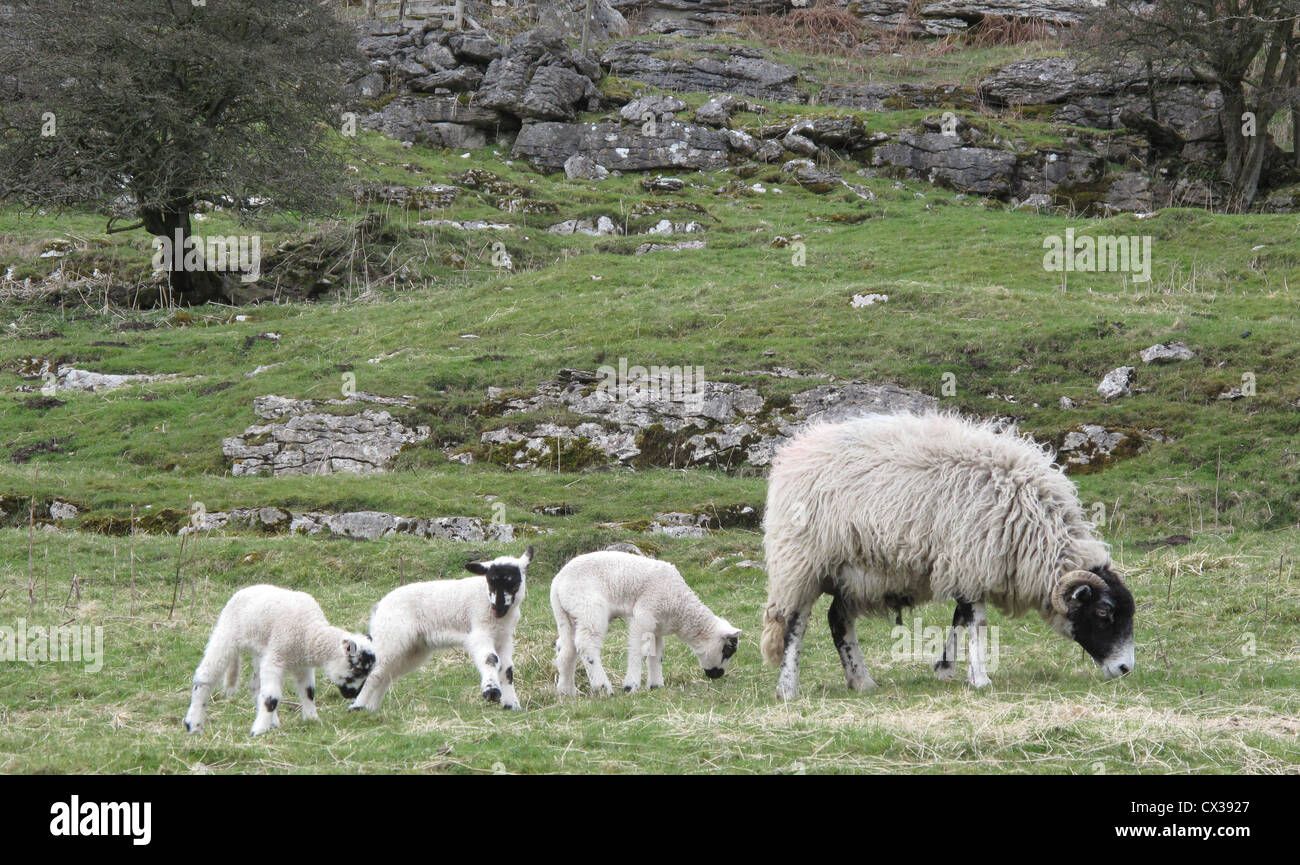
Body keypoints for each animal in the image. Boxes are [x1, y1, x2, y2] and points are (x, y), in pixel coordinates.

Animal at [183, 584, 376, 735]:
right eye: (357, 670)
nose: (353, 695)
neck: (309, 634)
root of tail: (243, 590)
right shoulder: (276, 657)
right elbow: (272, 697)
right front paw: (257, 731)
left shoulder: (302, 666)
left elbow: (308, 691)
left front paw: (312, 719)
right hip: (227, 633)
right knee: (205, 674)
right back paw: (193, 724)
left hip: (260, 650)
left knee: (256, 687)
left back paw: (272, 722)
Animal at [349, 547, 534, 712]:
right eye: (490, 581)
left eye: (514, 584)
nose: (498, 608)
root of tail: (379, 607)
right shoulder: (480, 631)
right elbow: (490, 659)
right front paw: (492, 692)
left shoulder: (504, 638)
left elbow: (507, 669)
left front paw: (512, 705)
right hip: (390, 635)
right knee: (375, 672)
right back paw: (356, 707)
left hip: (411, 649)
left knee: (385, 674)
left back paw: (370, 709)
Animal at [551, 550, 741, 696]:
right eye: (728, 650)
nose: (717, 675)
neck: (679, 605)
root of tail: (557, 583)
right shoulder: (644, 615)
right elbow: (640, 651)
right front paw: (630, 686)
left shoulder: (657, 626)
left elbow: (656, 653)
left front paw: (656, 685)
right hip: (589, 606)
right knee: (586, 644)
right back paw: (603, 688)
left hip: (566, 615)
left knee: (566, 648)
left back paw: (566, 691)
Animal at [760, 412, 1135, 699]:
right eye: (1104, 612)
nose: (1125, 668)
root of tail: (795, 451)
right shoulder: (969, 558)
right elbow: (976, 622)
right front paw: (980, 678)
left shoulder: (966, 567)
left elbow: (959, 618)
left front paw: (947, 669)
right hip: (802, 560)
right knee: (795, 623)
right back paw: (787, 689)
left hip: (853, 575)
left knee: (838, 620)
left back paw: (861, 681)